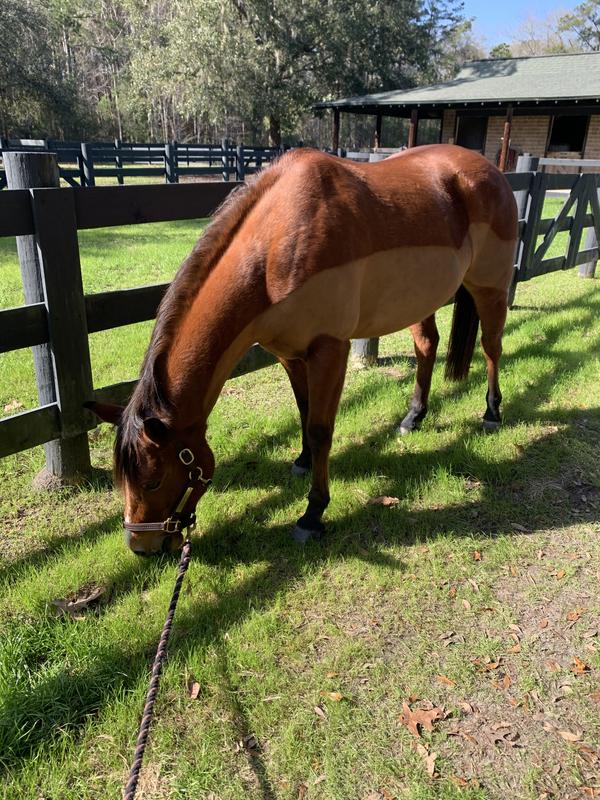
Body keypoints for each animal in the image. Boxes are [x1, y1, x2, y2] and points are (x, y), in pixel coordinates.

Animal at [87, 144, 518, 554]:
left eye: (154, 479)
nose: (140, 547)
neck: (278, 241)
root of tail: (492, 171)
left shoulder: (330, 349)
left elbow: (320, 428)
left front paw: (313, 513)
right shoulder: (289, 353)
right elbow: (304, 412)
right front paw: (302, 462)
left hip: (490, 287)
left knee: (491, 346)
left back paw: (492, 412)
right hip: (418, 297)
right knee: (427, 345)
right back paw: (414, 417)